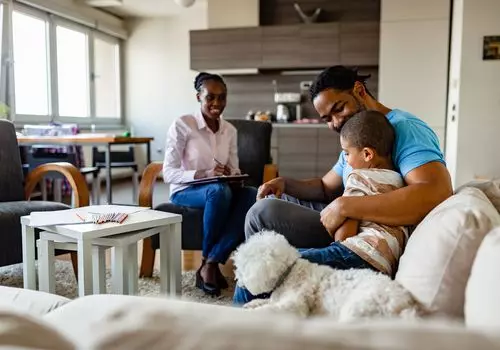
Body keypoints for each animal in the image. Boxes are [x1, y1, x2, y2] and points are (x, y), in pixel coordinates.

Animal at [232, 231, 424, 322]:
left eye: (241, 266)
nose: (237, 280)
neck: (289, 272)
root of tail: (405, 306)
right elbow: (265, 301)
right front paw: (252, 304)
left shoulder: (294, 305)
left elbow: (271, 309)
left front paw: (254, 312)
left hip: (356, 309)